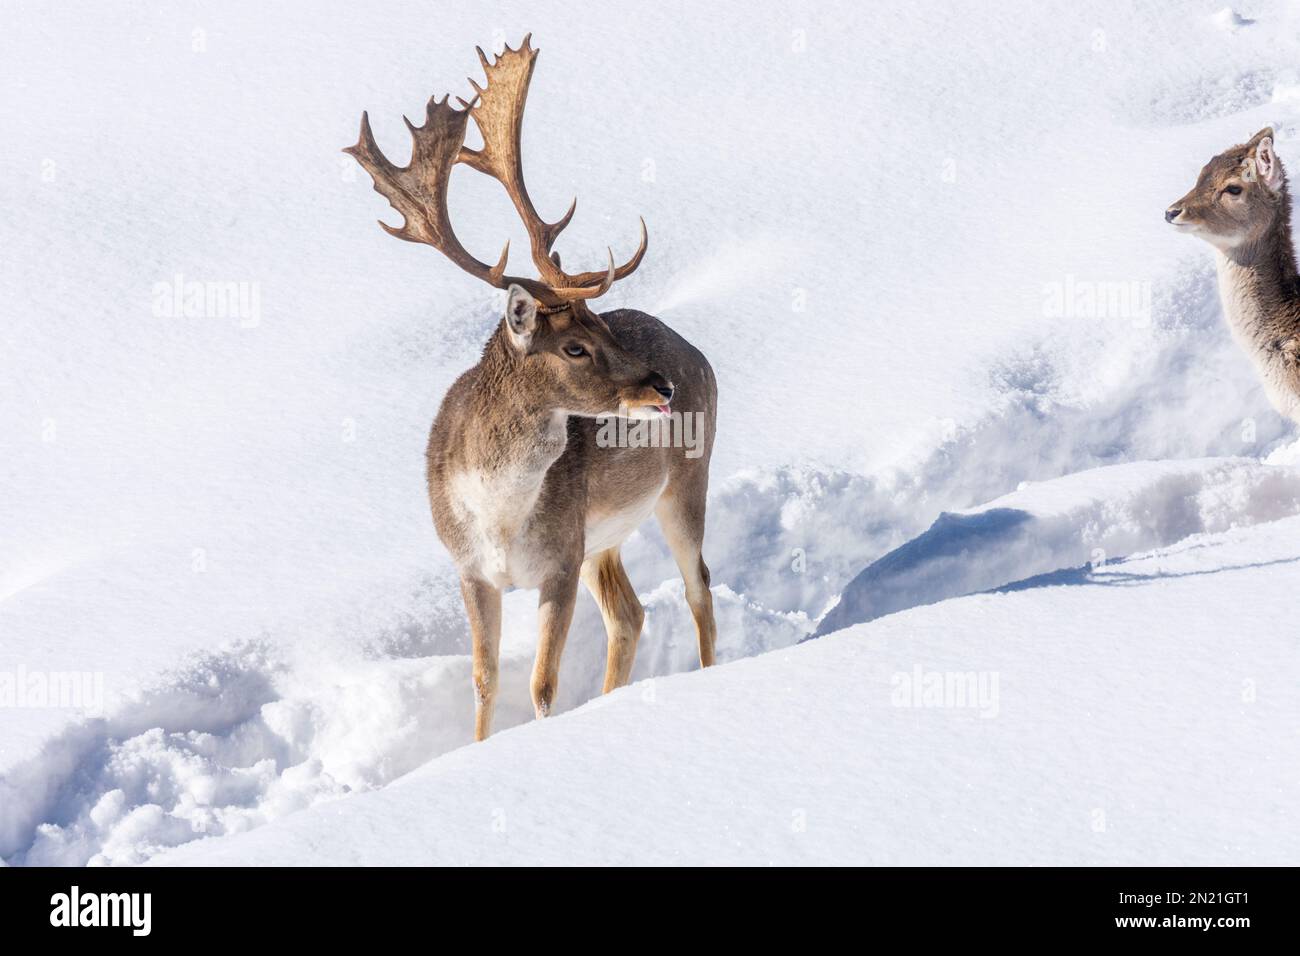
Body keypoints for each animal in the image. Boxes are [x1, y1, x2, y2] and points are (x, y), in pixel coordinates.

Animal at [344, 36, 718, 741]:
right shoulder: (469, 569)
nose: (660, 385)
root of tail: (695, 350)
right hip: (604, 537)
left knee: (698, 586)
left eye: (603, 323)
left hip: (687, 476)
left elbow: (543, 685)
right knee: (630, 615)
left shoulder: (560, 558)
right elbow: (485, 681)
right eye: (574, 345)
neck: (499, 518)